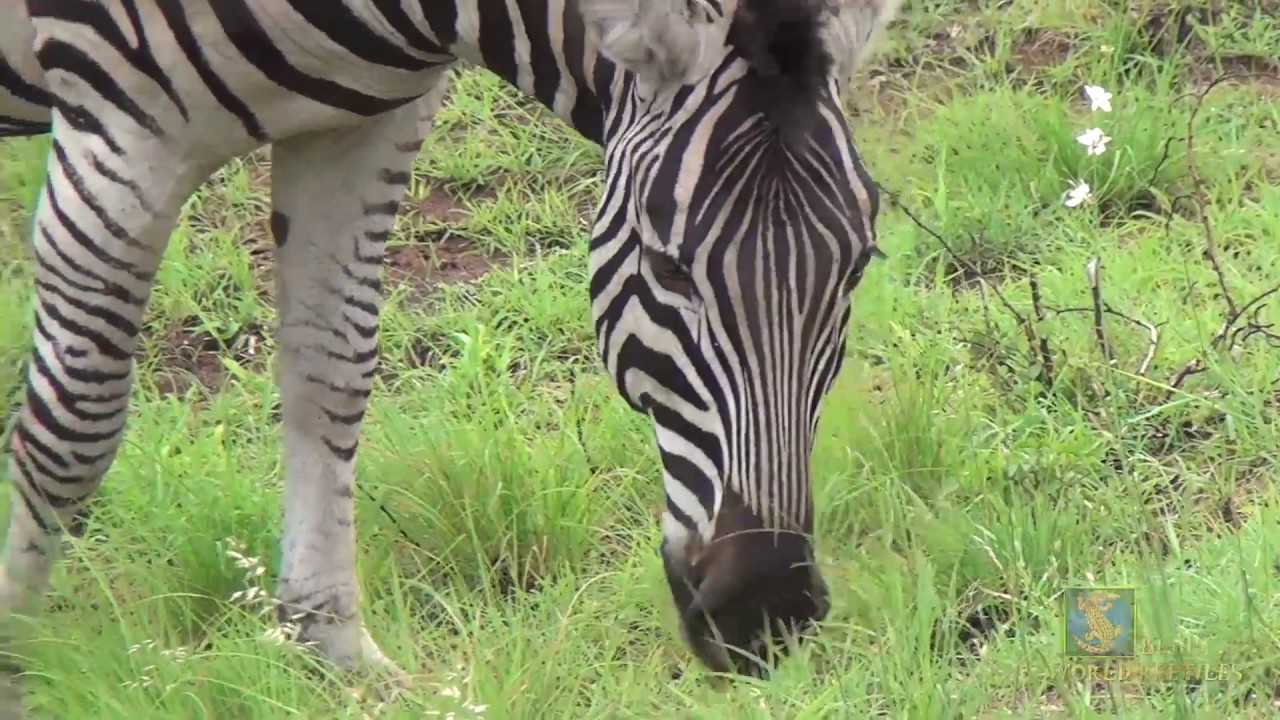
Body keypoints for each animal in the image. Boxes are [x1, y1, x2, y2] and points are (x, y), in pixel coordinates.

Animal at [0, 0, 899, 706]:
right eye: (669, 266)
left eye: (860, 265)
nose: (767, 609)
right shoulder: (120, 134)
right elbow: (73, 431)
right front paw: (11, 663)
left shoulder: (359, 125)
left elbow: (331, 372)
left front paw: (339, 657)